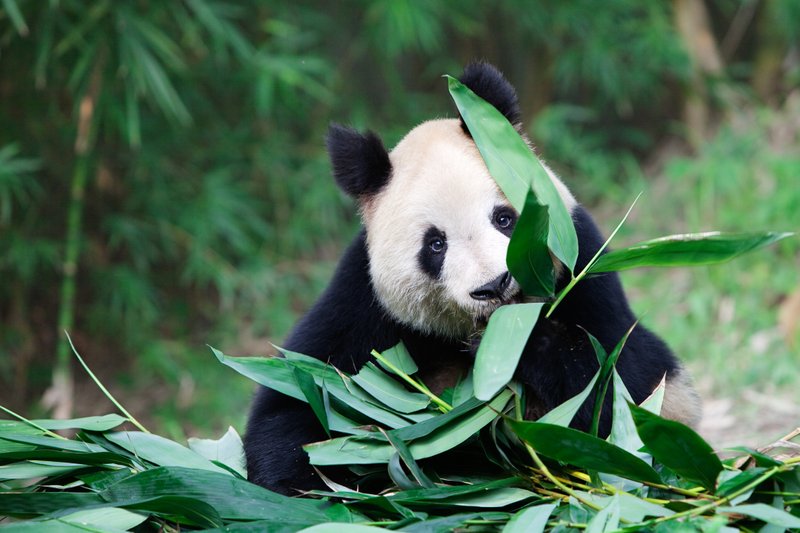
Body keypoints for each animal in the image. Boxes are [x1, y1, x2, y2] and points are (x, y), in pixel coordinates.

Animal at [244, 62, 701, 495]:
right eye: (435, 245)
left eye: (504, 218)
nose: (494, 285)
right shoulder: (363, 301)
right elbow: (297, 402)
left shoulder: (583, 266)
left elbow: (626, 389)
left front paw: (528, 343)